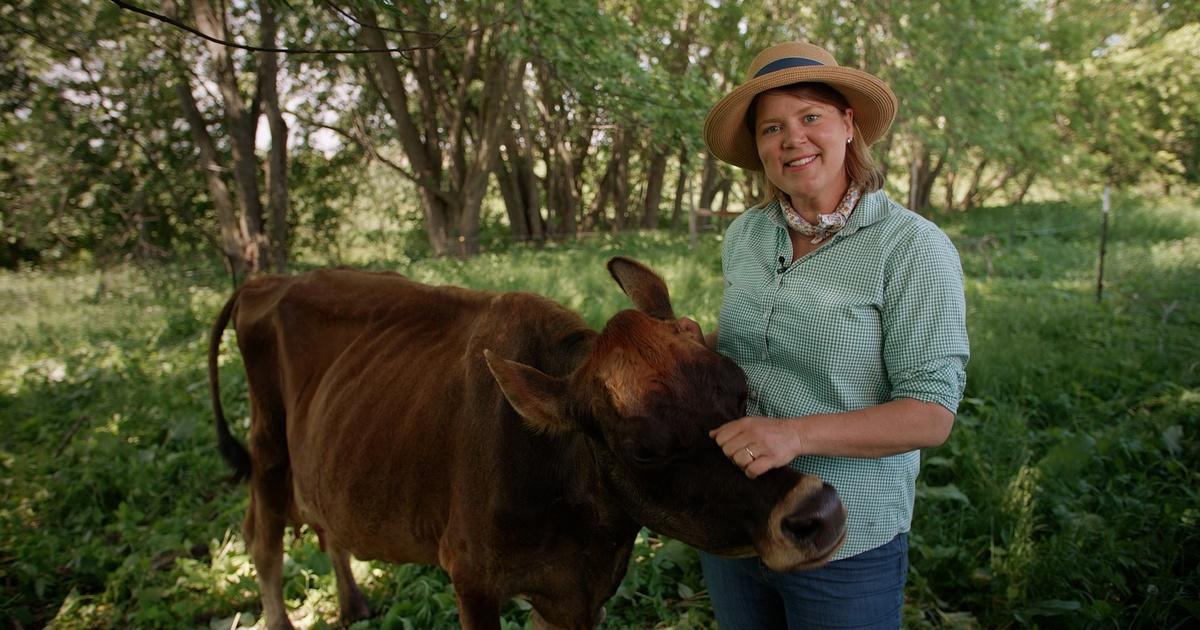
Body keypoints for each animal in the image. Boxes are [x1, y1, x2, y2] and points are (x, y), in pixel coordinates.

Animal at [207, 257, 845, 630]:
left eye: (740, 386)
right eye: (641, 448)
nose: (816, 512)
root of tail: (270, 279)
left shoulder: (582, 594)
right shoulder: (471, 577)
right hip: (268, 447)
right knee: (262, 539)